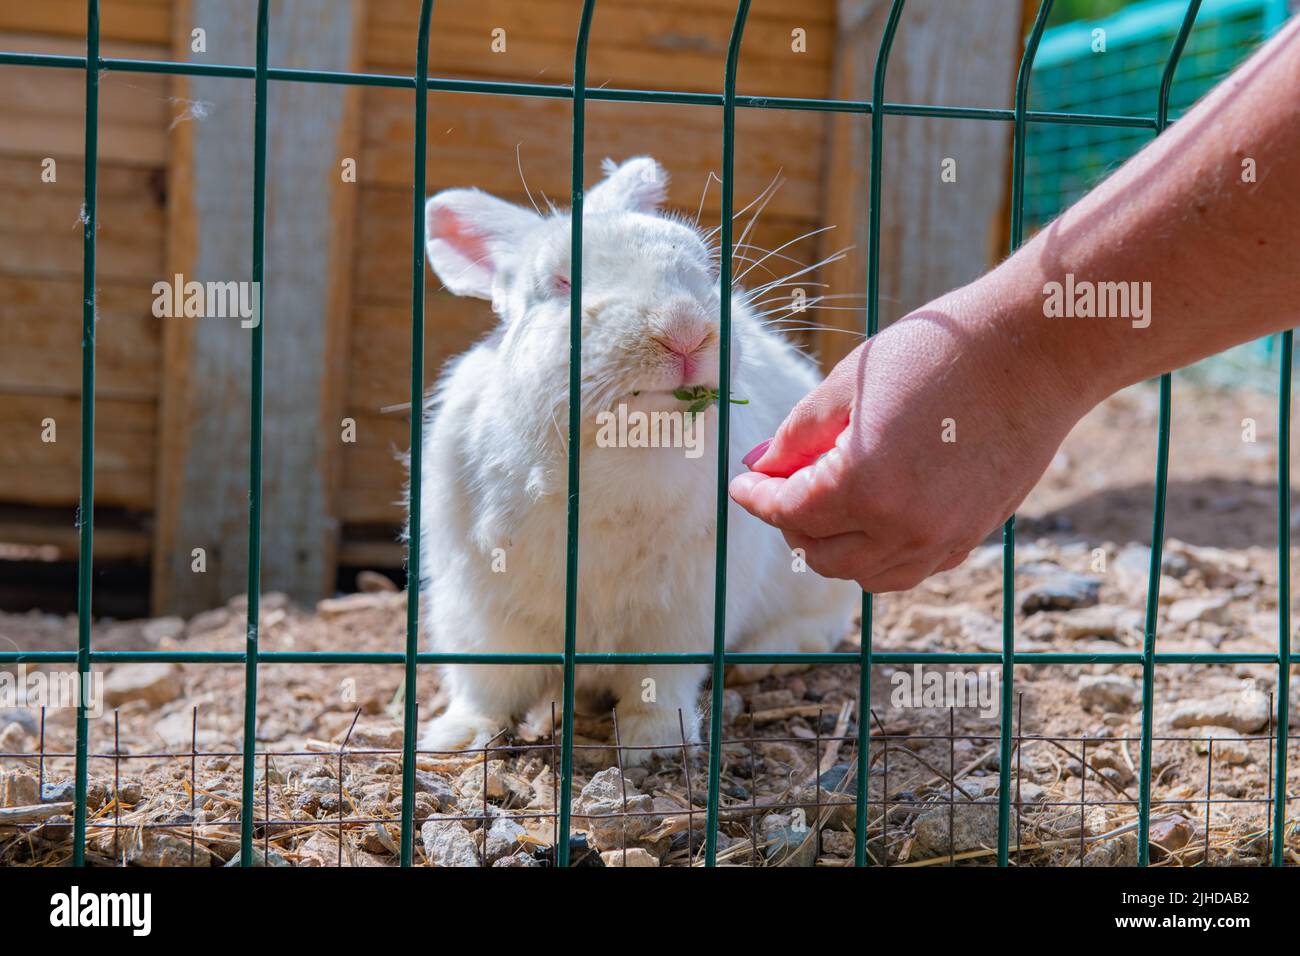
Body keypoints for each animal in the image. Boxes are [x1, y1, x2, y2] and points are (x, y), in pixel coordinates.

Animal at [413, 156, 858, 762]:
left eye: (700, 266)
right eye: (562, 282)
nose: (685, 329)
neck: (621, 450)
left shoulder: (681, 615)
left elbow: (659, 682)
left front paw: (653, 743)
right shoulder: (482, 612)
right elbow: (486, 684)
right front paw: (456, 738)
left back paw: (758, 660)